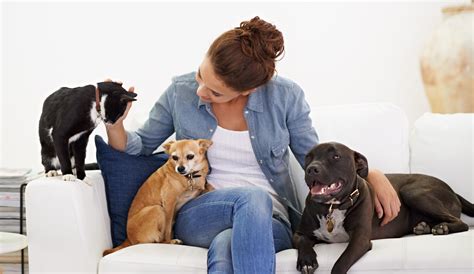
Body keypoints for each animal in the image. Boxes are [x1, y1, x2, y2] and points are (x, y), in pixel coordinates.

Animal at [292, 141, 474, 274]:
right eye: (308, 157)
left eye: (336, 156)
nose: (311, 169)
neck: (332, 206)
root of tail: (452, 190)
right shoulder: (299, 233)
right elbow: (303, 241)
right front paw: (307, 261)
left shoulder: (360, 239)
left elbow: (341, 262)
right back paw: (425, 227)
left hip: (412, 192)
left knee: (462, 223)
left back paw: (442, 228)